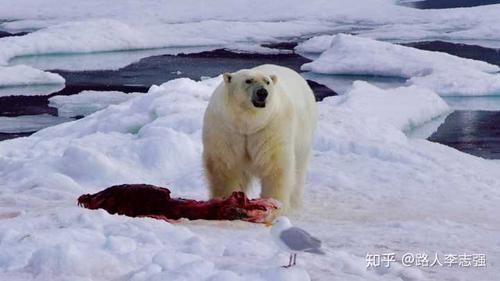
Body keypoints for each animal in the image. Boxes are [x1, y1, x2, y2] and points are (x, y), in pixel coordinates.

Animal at [202, 64, 316, 212]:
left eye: (267, 82)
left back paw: (295, 203)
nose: (262, 93)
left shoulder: (270, 127)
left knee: (299, 169)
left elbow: (275, 166)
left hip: (304, 134)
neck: (247, 124)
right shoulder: (226, 128)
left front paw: (276, 206)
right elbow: (224, 166)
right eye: (248, 80)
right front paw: (226, 200)